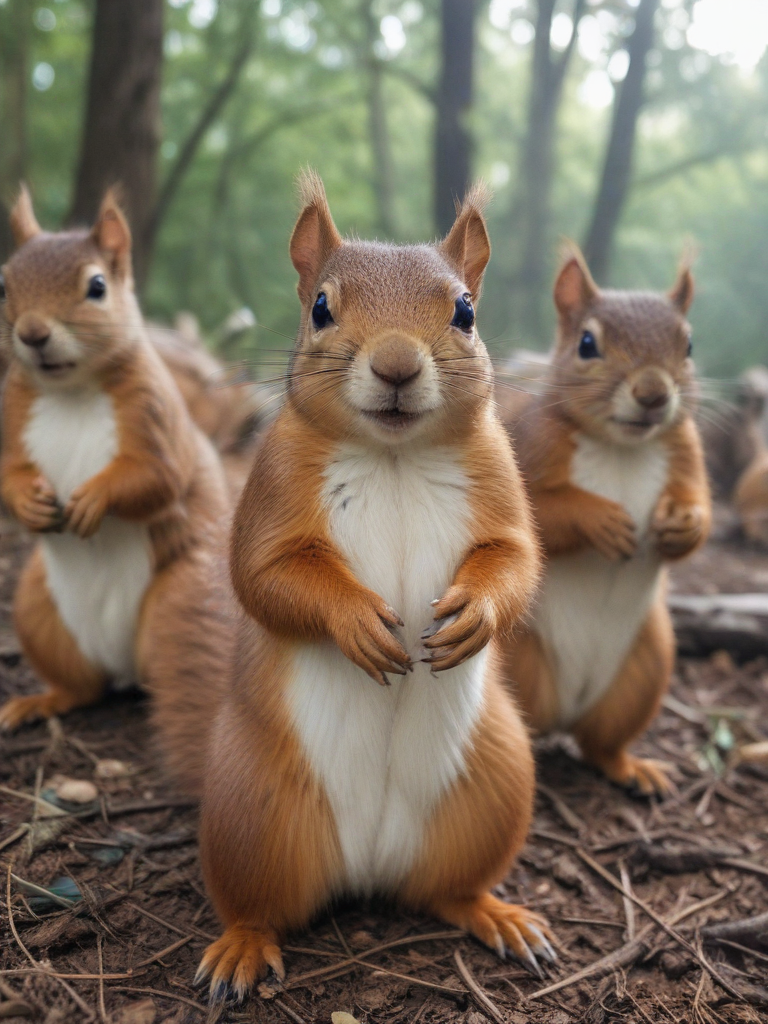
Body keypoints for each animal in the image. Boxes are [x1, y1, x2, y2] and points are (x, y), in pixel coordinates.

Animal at [0, 186, 234, 774]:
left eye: (97, 287)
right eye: (4, 283)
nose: (32, 334)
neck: (71, 392)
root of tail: (122, 662)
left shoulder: (157, 422)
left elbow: (157, 478)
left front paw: (92, 500)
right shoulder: (11, 422)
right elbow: (5, 480)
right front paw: (29, 501)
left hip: (174, 597)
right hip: (37, 611)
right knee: (84, 689)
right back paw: (39, 702)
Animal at [185, 174, 553, 998]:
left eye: (466, 311)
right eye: (321, 307)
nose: (395, 365)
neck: (394, 455)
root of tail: (368, 866)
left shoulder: (502, 482)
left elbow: (516, 560)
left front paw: (475, 613)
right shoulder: (274, 490)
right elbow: (263, 574)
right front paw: (356, 621)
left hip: (494, 786)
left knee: (448, 889)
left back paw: (497, 916)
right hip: (251, 808)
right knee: (257, 904)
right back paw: (241, 947)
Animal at [500, 245, 711, 796]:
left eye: (689, 344)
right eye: (587, 344)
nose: (653, 394)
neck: (622, 448)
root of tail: (565, 711)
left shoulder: (686, 454)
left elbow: (698, 508)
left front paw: (683, 523)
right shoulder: (532, 446)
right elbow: (539, 518)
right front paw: (603, 519)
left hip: (645, 669)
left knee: (600, 743)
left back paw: (633, 769)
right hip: (518, 658)